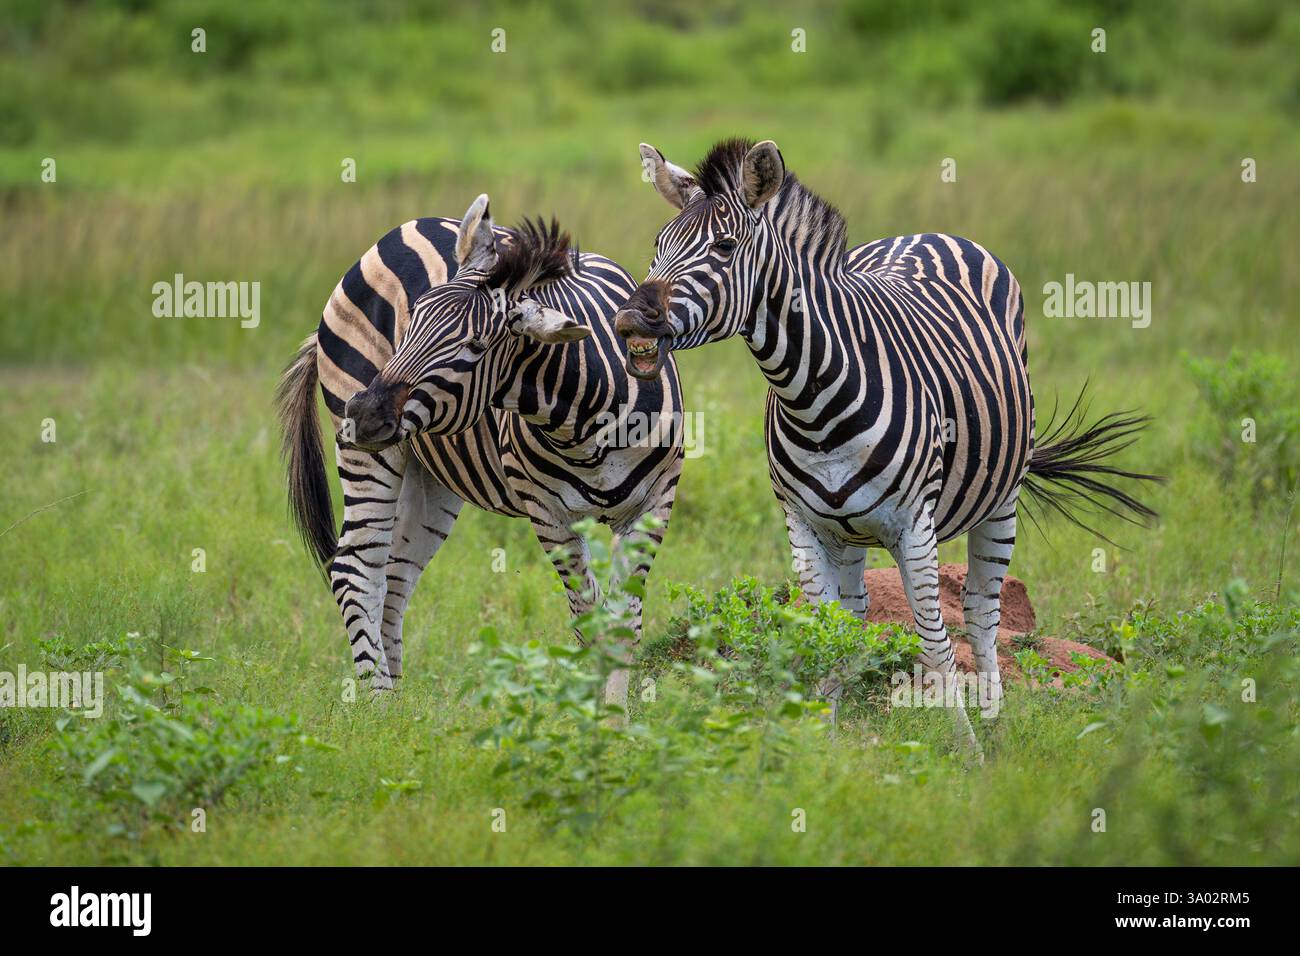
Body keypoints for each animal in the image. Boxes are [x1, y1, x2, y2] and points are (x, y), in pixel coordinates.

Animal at [277, 195, 683, 706]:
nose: (364, 413)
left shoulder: (654, 504)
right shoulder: (548, 515)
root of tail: (401, 228)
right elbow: (588, 620)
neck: (586, 420)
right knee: (356, 569)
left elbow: (622, 624)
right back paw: (376, 706)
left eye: (474, 346)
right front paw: (590, 715)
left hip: (430, 474)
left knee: (394, 577)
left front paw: (614, 716)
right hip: (368, 451)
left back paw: (398, 710)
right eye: (410, 322)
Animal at [615, 138, 1160, 749]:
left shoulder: (914, 527)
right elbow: (824, 638)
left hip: (1003, 499)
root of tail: (929, 232)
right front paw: (821, 747)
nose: (628, 320)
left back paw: (994, 723)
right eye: (658, 246)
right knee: (857, 613)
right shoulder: (803, 525)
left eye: (725, 247)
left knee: (981, 612)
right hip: (847, 532)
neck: (812, 401)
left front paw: (968, 755)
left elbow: (936, 647)